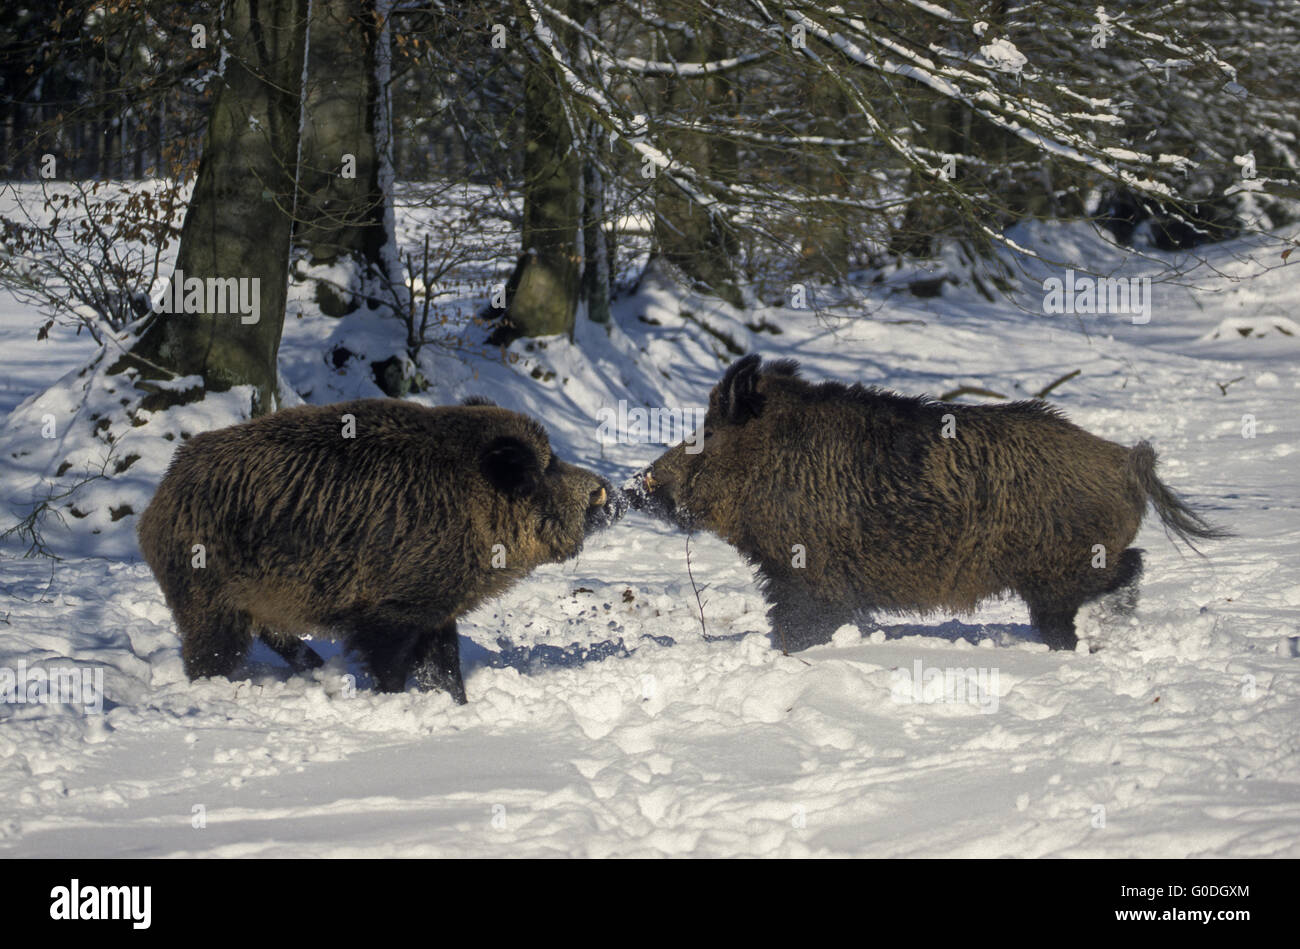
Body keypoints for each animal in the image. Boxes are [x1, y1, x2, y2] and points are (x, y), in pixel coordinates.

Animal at [138, 397, 622, 702]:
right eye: (546, 466)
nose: (609, 491)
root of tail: (155, 505)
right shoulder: (390, 610)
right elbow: (392, 668)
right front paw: (395, 703)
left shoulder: (435, 611)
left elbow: (445, 667)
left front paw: (456, 705)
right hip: (205, 598)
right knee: (208, 655)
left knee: (276, 638)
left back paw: (316, 669)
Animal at [626, 355, 1228, 652]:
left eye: (705, 433)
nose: (636, 485)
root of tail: (1126, 460)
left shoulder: (805, 571)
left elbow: (798, 626)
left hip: (1059, 568)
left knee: (1112, 580)